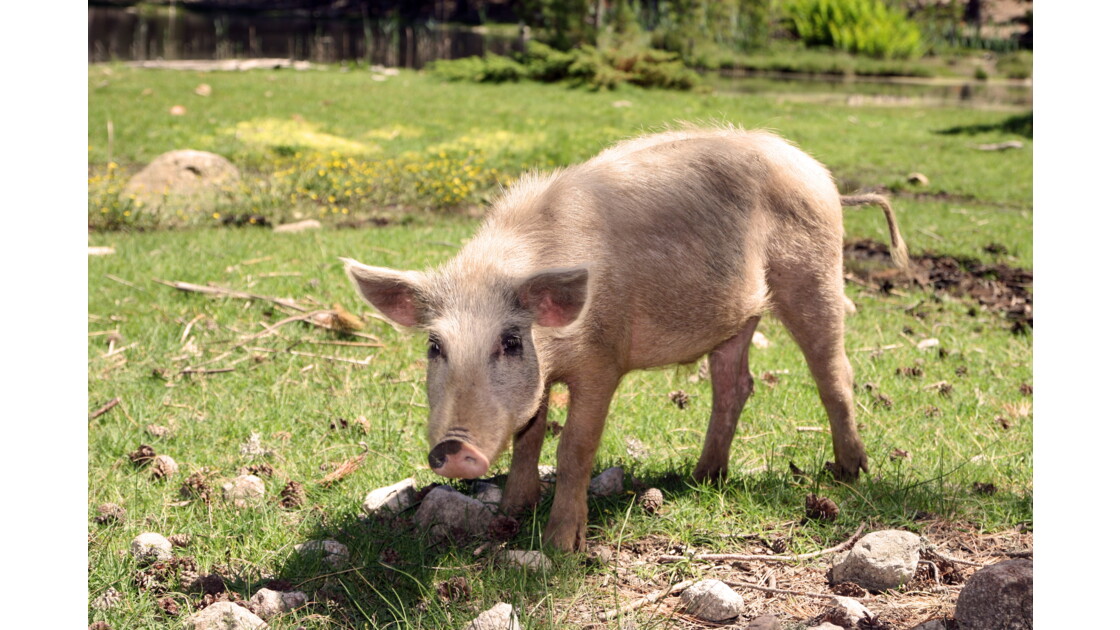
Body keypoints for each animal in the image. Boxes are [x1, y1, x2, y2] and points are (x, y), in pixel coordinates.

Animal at [343, 127, 908, 551]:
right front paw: (511, 511)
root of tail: (823, 177)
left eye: (510, 342)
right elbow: (529, 435)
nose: (454, 447)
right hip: (738, 315)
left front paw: (560, 546)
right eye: (435, 347)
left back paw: (847, 474)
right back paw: (703, 478)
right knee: (735, 384)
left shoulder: (603, 360)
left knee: (834, 371)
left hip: (814, 270)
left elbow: (574, 447)